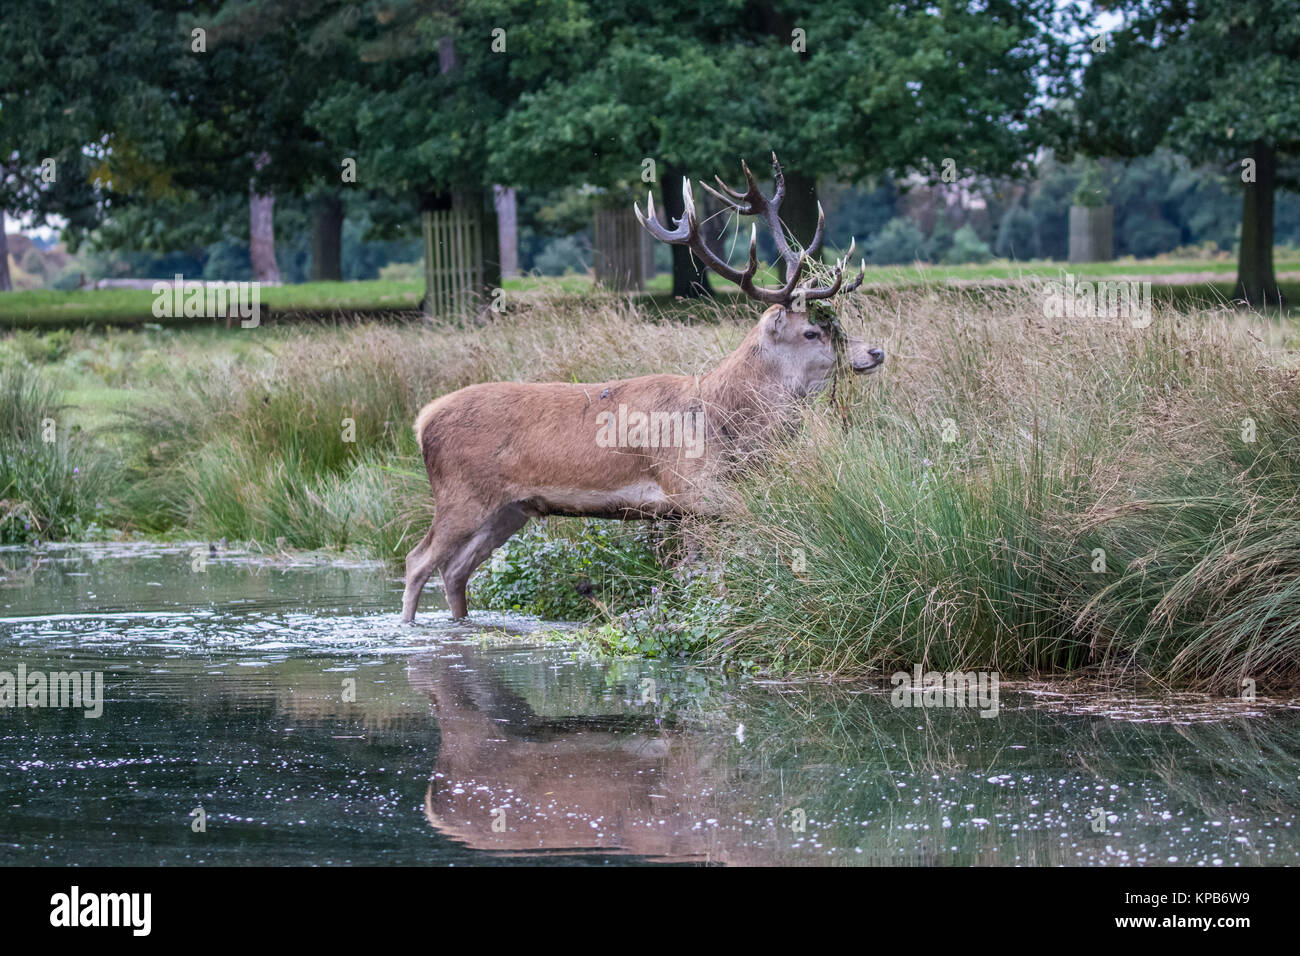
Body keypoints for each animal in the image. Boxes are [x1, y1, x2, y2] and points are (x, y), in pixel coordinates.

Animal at [402, 154, 884, 623]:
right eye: (811, 332)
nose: (876, 351)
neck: (727, 426)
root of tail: (423, 420)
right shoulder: (692, 493)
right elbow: (704, 575)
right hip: (459, 494)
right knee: (417, 561)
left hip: (510, 509)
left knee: (455, 570)